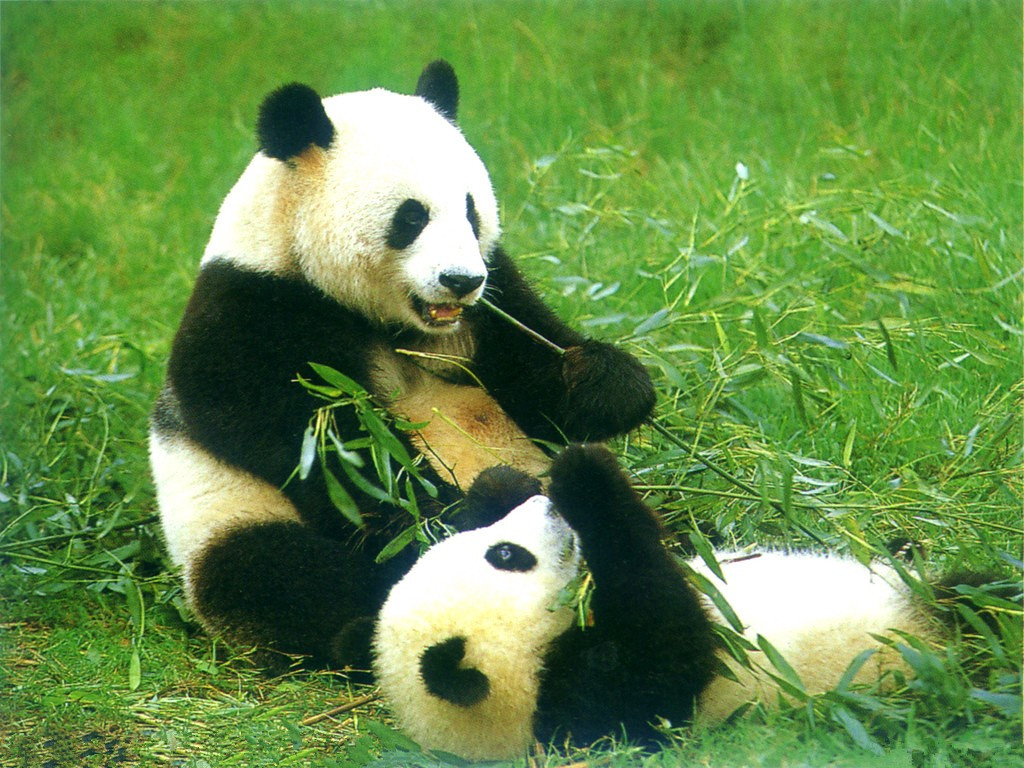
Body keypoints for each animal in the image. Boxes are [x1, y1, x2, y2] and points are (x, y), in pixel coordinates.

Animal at [149, 61, 655, 669]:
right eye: (411, 217)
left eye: (470, 210)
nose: (461, 280)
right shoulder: (254, 319)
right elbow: (336, 456)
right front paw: (478, 503)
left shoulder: (491, 303)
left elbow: (538, 377)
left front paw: (607, 380)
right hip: (226, 520)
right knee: (280, 575)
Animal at [373, 444, 936, 761]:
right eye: (506, 555)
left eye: (495, 545)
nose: (545, 505)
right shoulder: (600, 708)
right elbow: (670, 635)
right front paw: (584, 476)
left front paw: (504, 482)